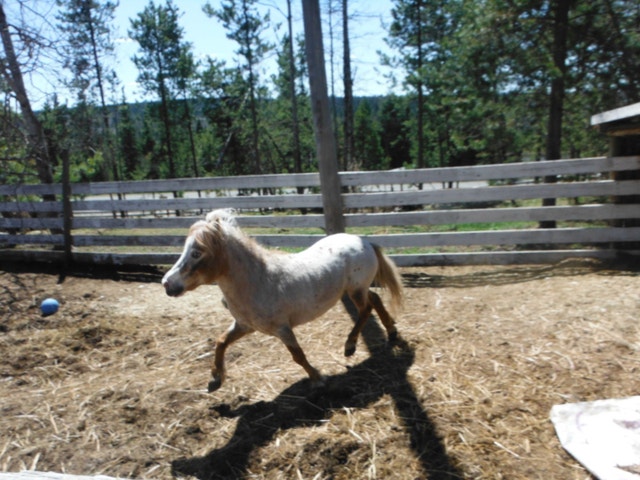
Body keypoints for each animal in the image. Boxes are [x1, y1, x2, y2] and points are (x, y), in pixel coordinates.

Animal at [161, 209, 404, 392]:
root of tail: (365, 241)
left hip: (355, 290)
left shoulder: (282, 328)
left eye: (196, 253)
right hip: (357, 289)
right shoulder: (245, 325)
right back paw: (391, 331)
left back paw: (350, 346)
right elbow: (221, 342)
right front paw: (215, 380)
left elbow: (297, 355)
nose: (166, 283)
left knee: (366, 309)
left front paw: (318, 378)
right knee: (375, 300)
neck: (259, 281)